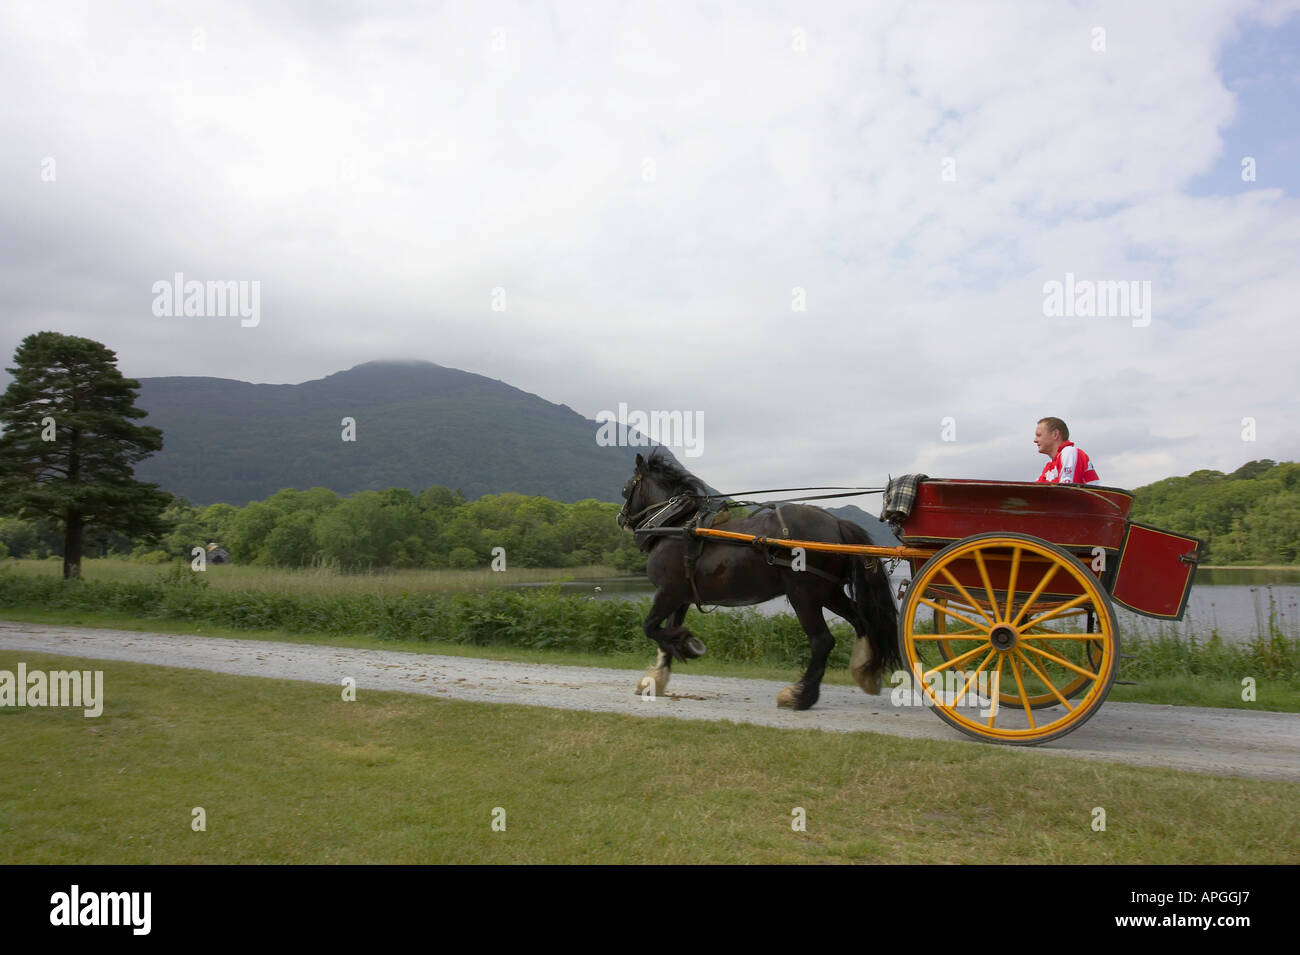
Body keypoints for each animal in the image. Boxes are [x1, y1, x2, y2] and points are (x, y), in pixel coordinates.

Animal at [616, 450, 901, 710]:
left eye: (625, 489)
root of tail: (837, 524)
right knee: (861, 621)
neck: (676, 524)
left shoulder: (668, 592)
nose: (621, 518)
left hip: (804, 594)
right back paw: (866, 673)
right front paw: (658, 677)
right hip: (829, 591)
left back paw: (800, 696)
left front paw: (686, 644)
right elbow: (665, 636)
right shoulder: (681, 597)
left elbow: (651, 627)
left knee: (822, 641)